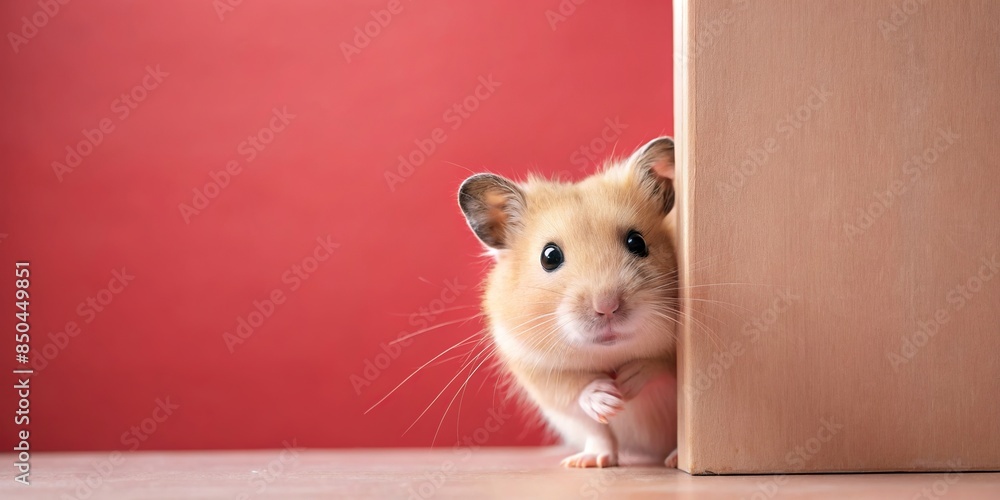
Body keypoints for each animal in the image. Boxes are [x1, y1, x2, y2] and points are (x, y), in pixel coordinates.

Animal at [457, 137, 679, 468]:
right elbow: (581, 400)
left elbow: (660, 365)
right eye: (549, 257)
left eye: (637, 242)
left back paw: (674, 458)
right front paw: (608, 399)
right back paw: (587, 460)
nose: (607, 306)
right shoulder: (539, 374)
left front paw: (627, 382)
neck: (609, 353)